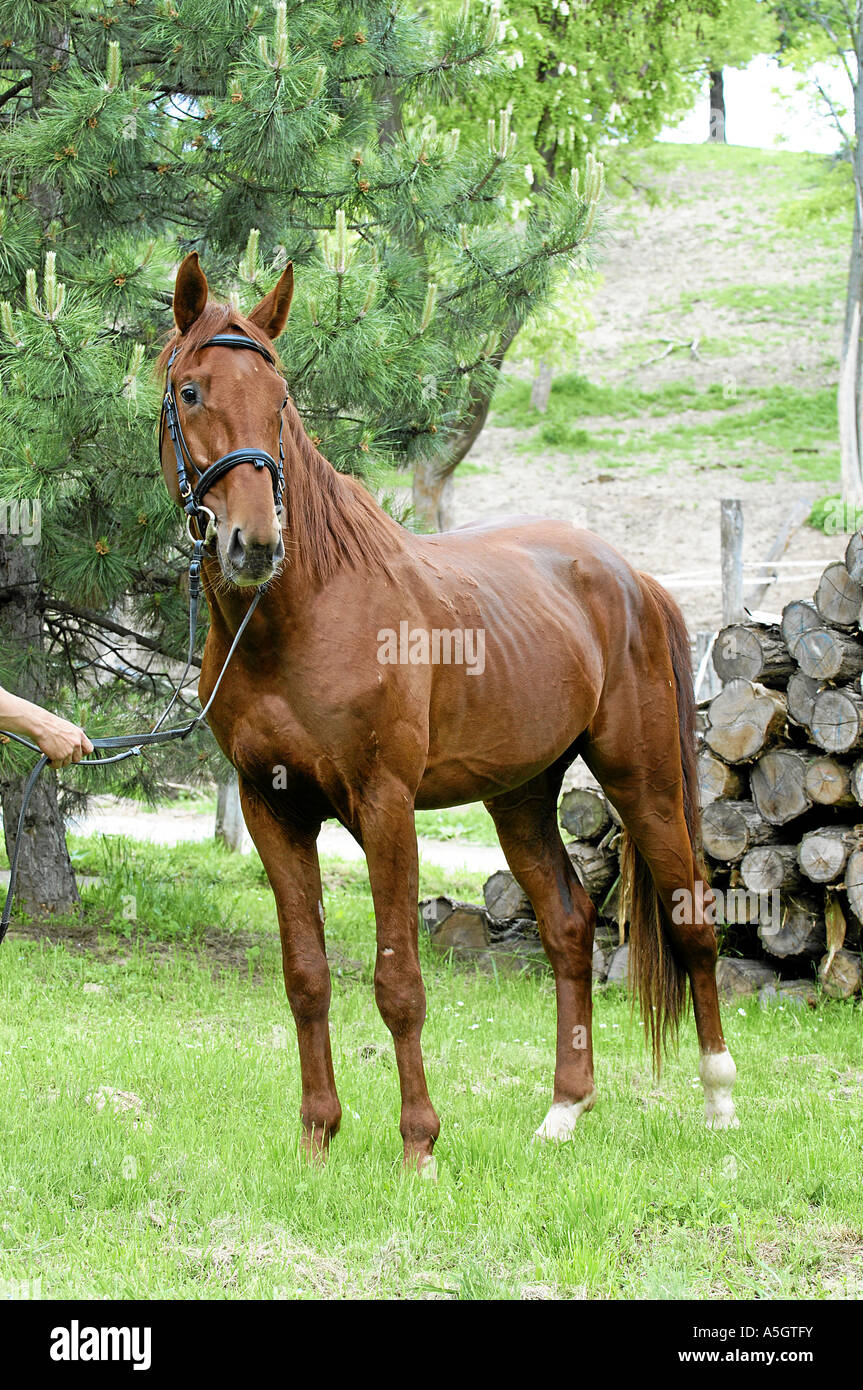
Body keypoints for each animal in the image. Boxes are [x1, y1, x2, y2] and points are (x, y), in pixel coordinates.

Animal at [157, 250, 738, 1173]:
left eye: (278, 397)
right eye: (190, 391)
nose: (254, 543)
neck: (304, 614)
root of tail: (628, 576)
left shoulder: (385, 805)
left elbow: (398, 981)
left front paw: (418, 1147)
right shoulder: (271, 807)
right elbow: (305, 976)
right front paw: (317, 1139)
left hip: (643, 783)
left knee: (691, 927)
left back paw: (718, 1103)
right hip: (521, 798)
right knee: (568, 927)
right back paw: (563, 1110)